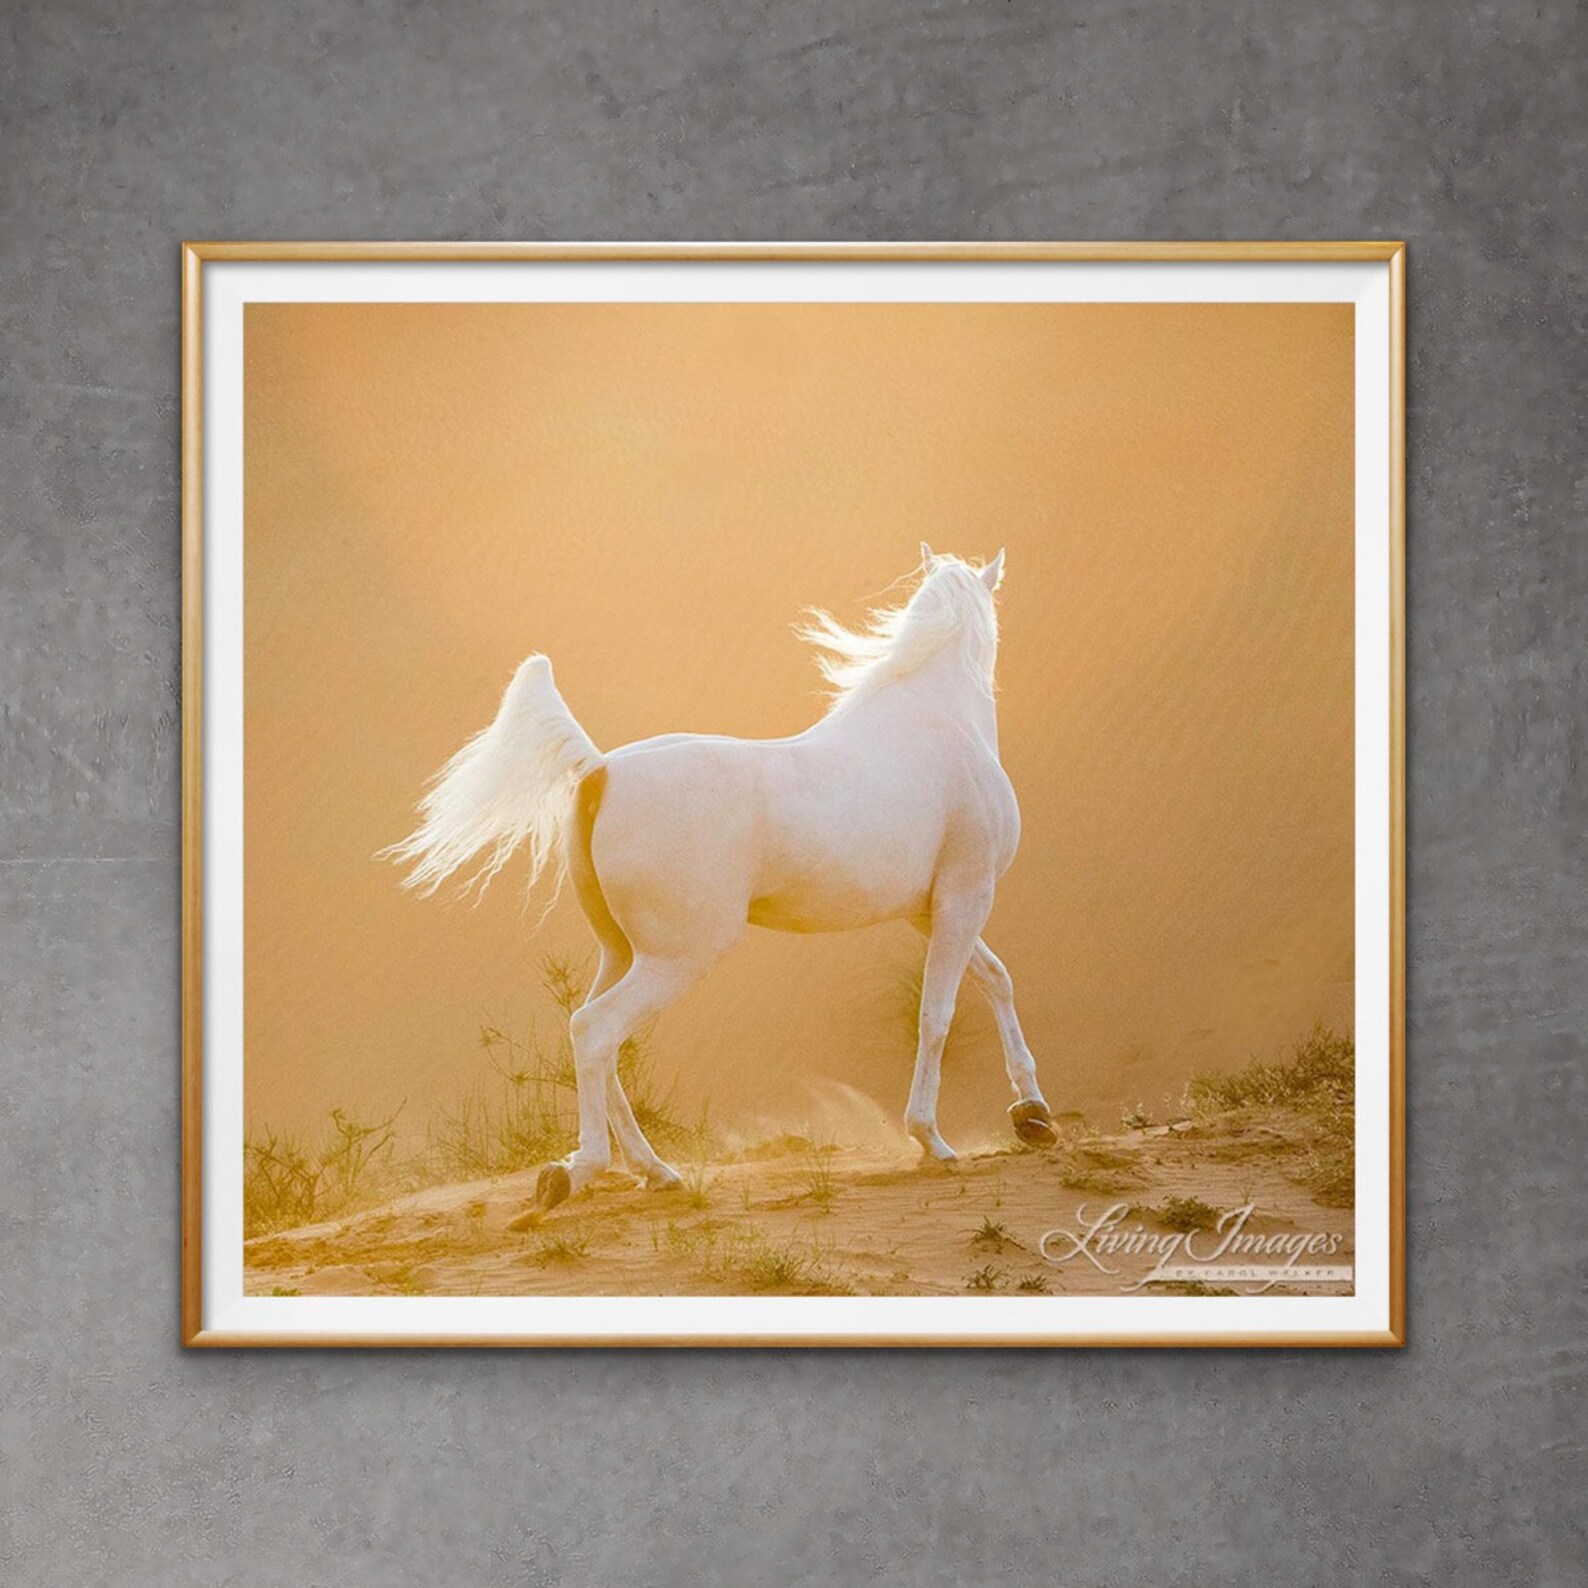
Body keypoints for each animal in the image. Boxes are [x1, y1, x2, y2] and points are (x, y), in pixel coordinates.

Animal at [386, 545, 1056, 1215]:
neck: (941, 721)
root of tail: (601, 769)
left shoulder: (930, 910)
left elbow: (995, 979)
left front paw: (1034, 1115)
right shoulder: (964, 897)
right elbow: (939, 1013)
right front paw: (934, 1139)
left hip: (621, 950)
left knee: (592, 1034)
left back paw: (648, 1169)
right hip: (679, 957)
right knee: (597, 1031)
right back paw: (584, 1172)